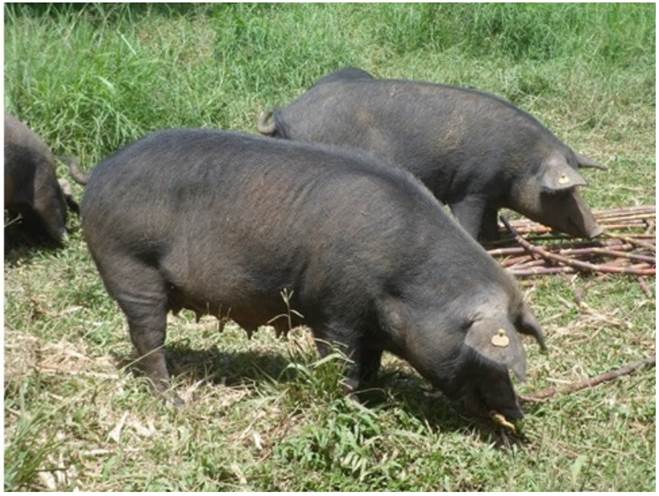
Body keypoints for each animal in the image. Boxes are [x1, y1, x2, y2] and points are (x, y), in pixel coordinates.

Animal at [81, 129, 545, 419]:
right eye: (486, 355)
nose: (517, 413)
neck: (407, 284)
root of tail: (98, 171)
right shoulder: (335, 306)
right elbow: (342, 360)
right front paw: (352, 405)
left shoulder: (369, 323)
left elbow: (370, 361)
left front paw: (374, 397)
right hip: (130, 263)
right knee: (147, 336)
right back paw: (175, 402)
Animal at [257, 68, 605, 242]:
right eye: (562, 192)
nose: (598, 230)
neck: (519, 164)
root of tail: (288, 112)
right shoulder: (471, 188)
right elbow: (468, 220)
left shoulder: (490, 193)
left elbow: (491, 219)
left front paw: (495, 240)